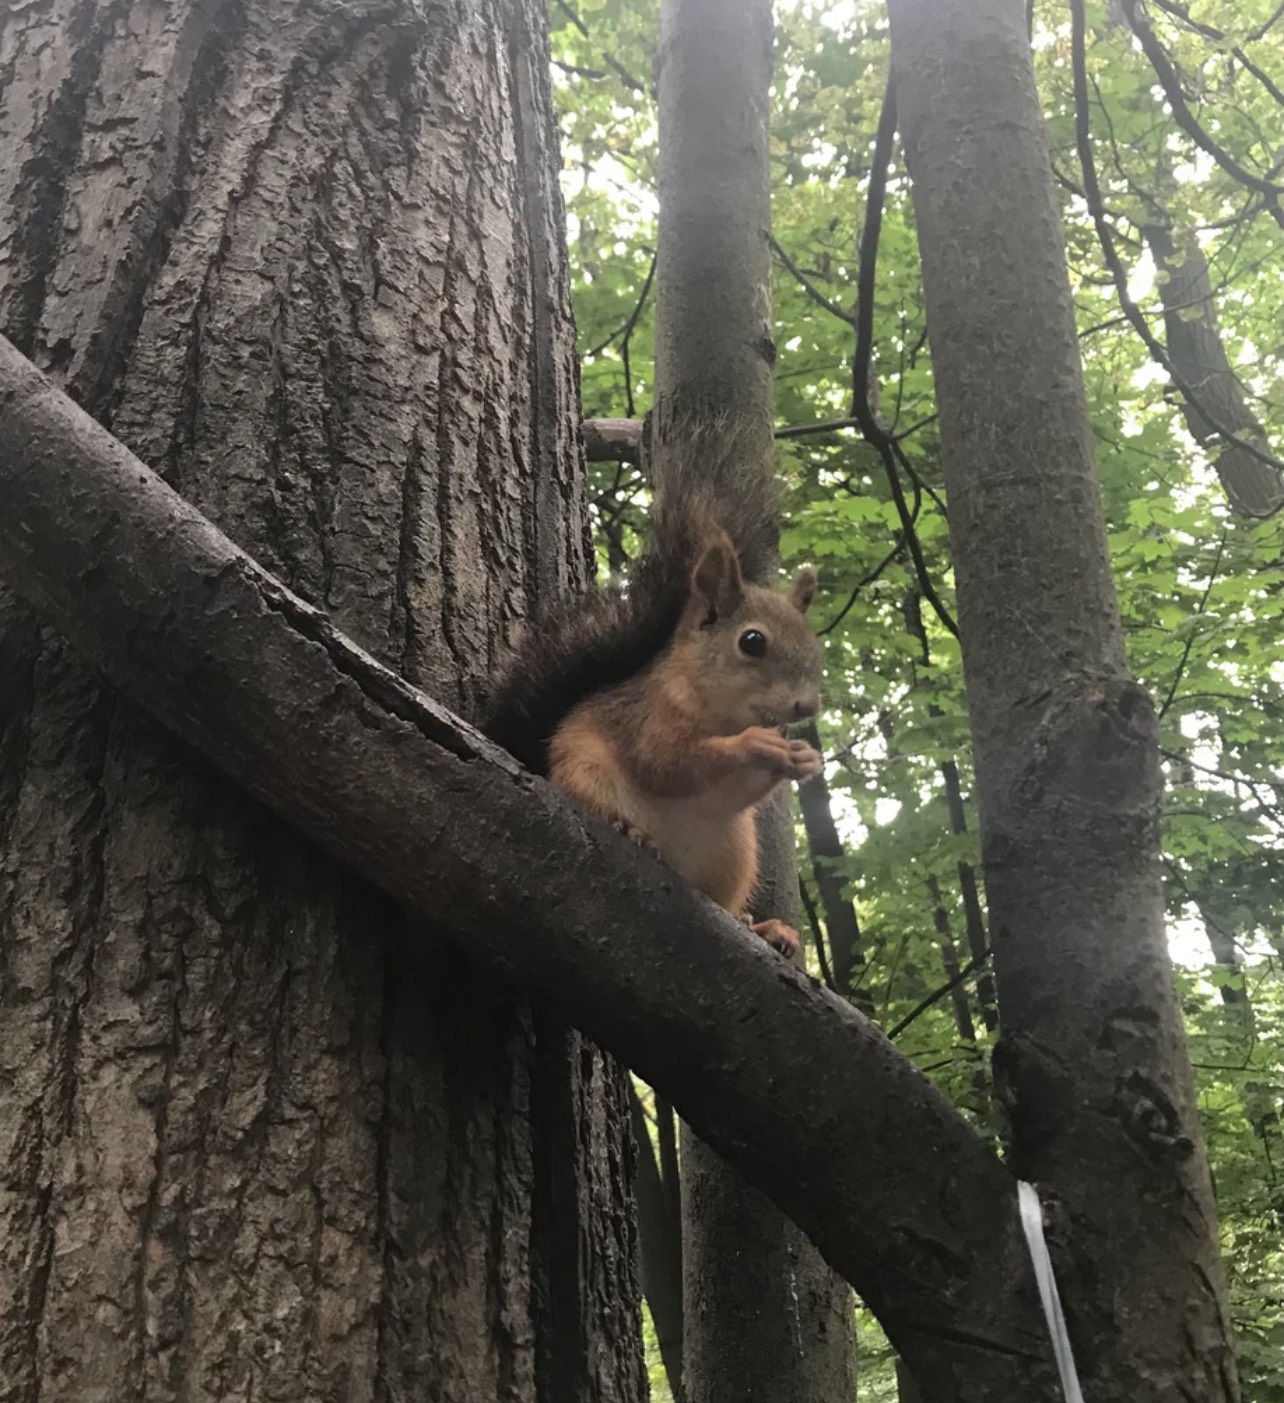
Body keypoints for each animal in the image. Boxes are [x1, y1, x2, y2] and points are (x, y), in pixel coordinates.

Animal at [482, 432, 825, 959]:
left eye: (813, 642)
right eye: (752, 641)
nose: (807, 706)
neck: (723, 712)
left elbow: (730, 791)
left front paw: (804, 758)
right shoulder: (648, 715)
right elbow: (665, 762)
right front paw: (754, 745)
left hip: (733, 852)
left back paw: (760, 926)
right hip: (584, 775)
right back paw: (628, 830)